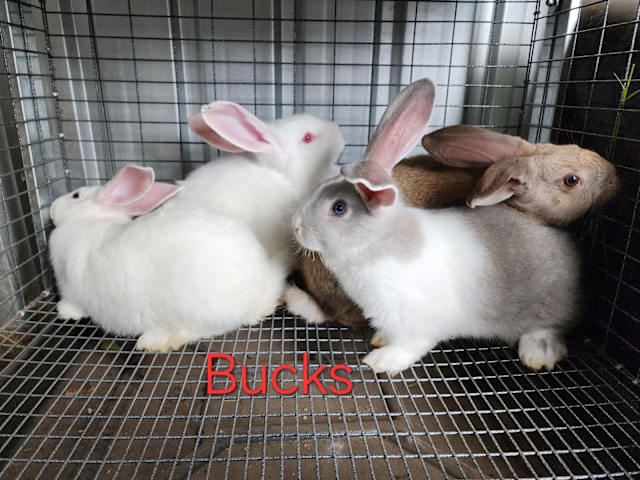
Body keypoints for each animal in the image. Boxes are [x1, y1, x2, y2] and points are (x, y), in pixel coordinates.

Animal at [49, 165, 286, 352]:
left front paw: (64, 313)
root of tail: (258, 289)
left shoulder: (69, 285)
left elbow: (71, 304)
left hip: (191, 305)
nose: (51, 208)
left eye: (76, 195)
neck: (88, 220)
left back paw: (155, 340)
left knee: (203, 329)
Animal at [291, 79, 580, 374]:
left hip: (547, 307)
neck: (377, 241)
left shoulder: (416, 322)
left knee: (549, 327)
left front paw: (381, 361)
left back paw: (538, 354)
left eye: (338, 208)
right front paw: (381, 339)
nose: (296, 226)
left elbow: (410, 346)